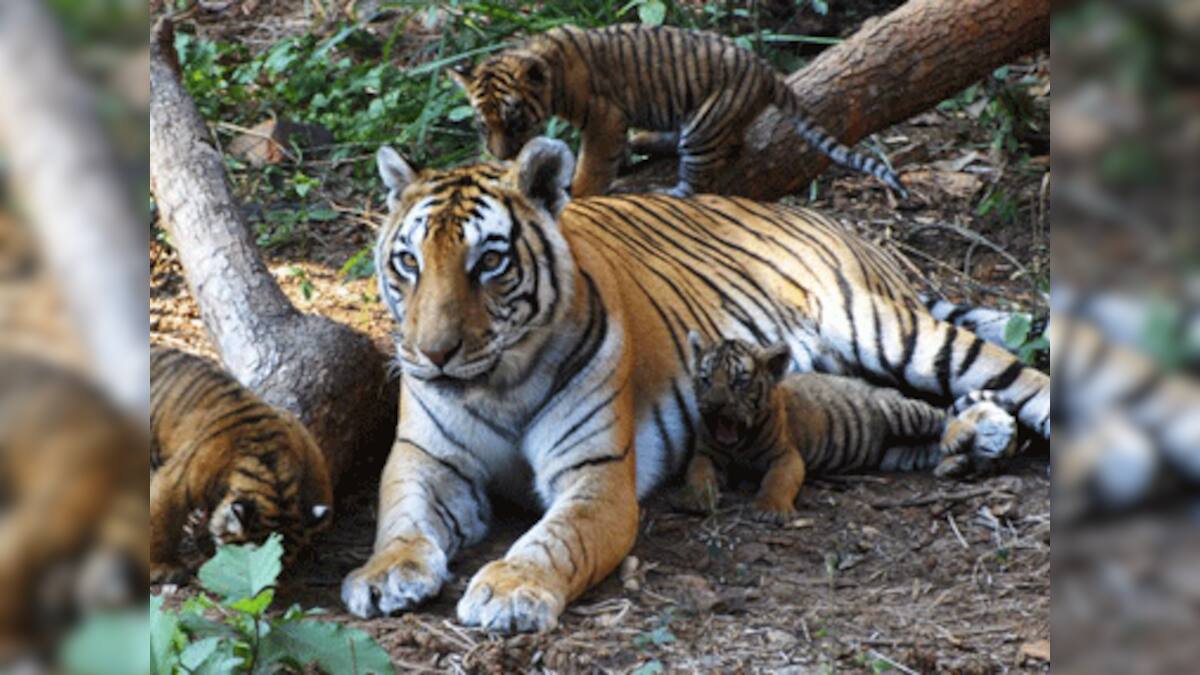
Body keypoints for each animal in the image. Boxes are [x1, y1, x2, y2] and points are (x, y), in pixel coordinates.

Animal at [449, 23, 907, 199]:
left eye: (514, 120)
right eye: (483, 125)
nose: (501, 154)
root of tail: (765, 71)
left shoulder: (604, 116)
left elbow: (593, 163)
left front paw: (577, 191)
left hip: (704, 124)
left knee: (709, 168)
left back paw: (671, 188)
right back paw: (645, 141)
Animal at [682, 334, 1018, 521]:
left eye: (739, 381)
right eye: (705, 379)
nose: (713, 405)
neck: (740, 442)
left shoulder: (786, 456)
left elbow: (778, 480)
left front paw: (770, 509)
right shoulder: (707, 453)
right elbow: (698, 473)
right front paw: (697, 499)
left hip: (902, 412)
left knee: (941, 417)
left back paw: (955, 438)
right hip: (896, 455)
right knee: (929, 448)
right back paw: (953, 464)